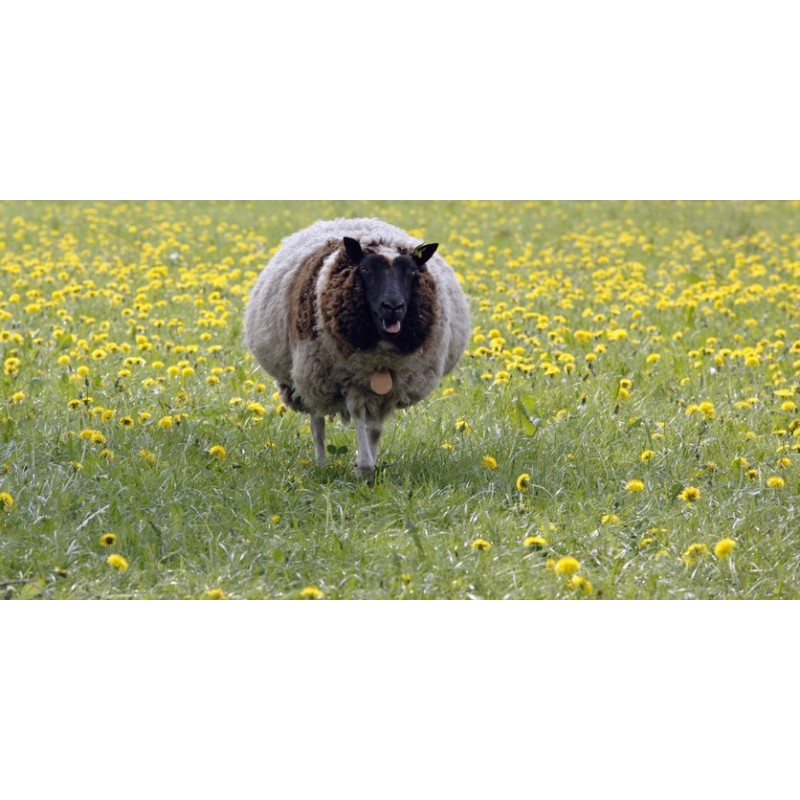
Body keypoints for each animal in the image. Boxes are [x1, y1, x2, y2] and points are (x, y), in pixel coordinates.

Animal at [244, 217, 470, 479]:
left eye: (412, 272)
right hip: (311, 376)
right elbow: (357, 414)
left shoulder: (390, 388)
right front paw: (364, 467)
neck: (380, 359)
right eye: (366, 270)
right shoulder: (349, 380)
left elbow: (375, 428)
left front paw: (370, 466)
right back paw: (321, 464)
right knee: (317, 423)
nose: (393, 306)